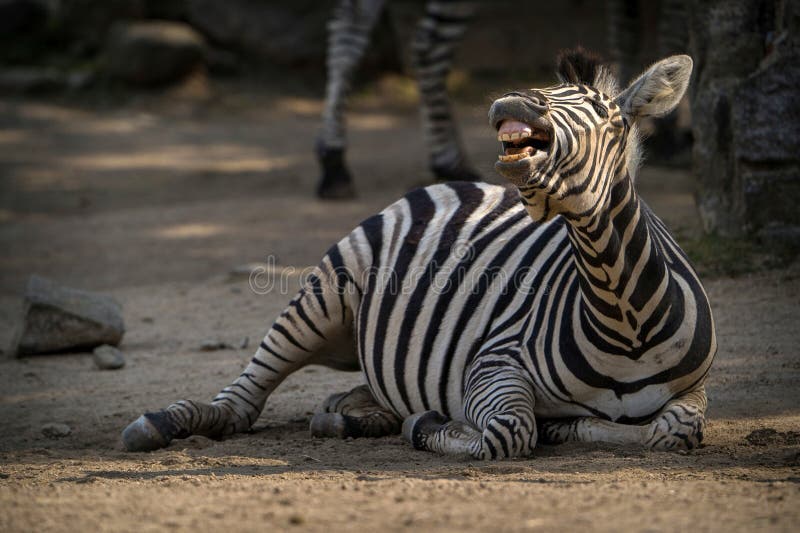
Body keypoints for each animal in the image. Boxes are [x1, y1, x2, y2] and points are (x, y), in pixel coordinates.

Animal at [122, 49, 716, 459]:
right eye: (549, 90)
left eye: (601, 112)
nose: (512, 102)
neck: (625, 320)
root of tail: (460, 183)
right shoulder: (491, 363)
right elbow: (510, 431)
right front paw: (433, 425)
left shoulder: (694, 391)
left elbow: (671, 431)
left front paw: (571, 426)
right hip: (325, 295)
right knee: (241, 401)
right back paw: (164, 424)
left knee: (354, 395)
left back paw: (345, 415)